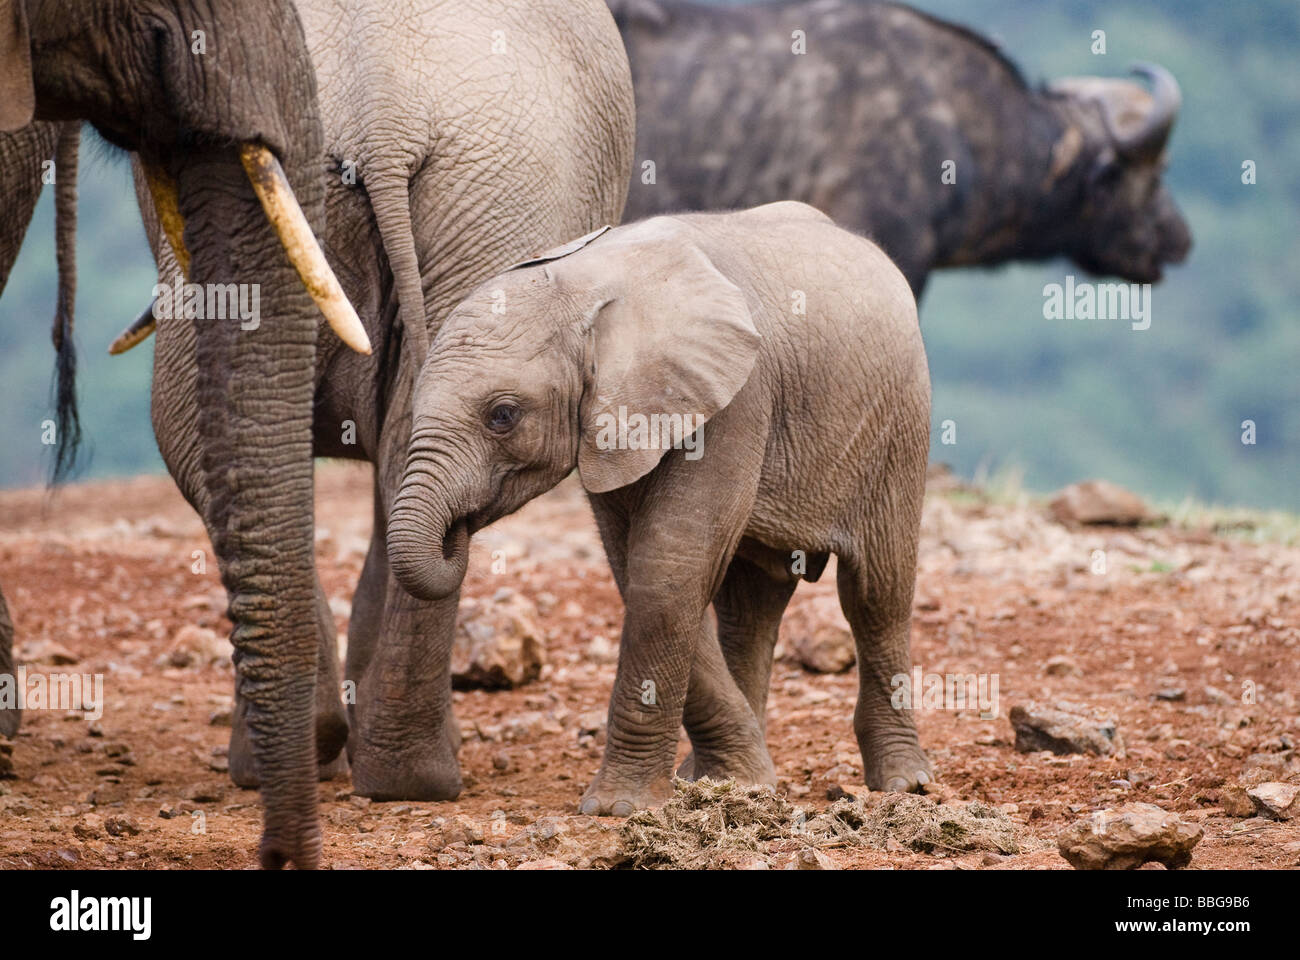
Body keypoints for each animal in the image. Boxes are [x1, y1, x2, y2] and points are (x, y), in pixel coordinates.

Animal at [388, 202, 934, 815]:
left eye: (502, 415)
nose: (458, 531)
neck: (583, 284)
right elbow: (644, 570)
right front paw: (740, 783)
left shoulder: (735, 397)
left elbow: (668, 565)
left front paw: (620, 809)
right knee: (750, 607)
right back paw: (718, 779)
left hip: (899, 423)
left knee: (876, 593)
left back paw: (904, 785)